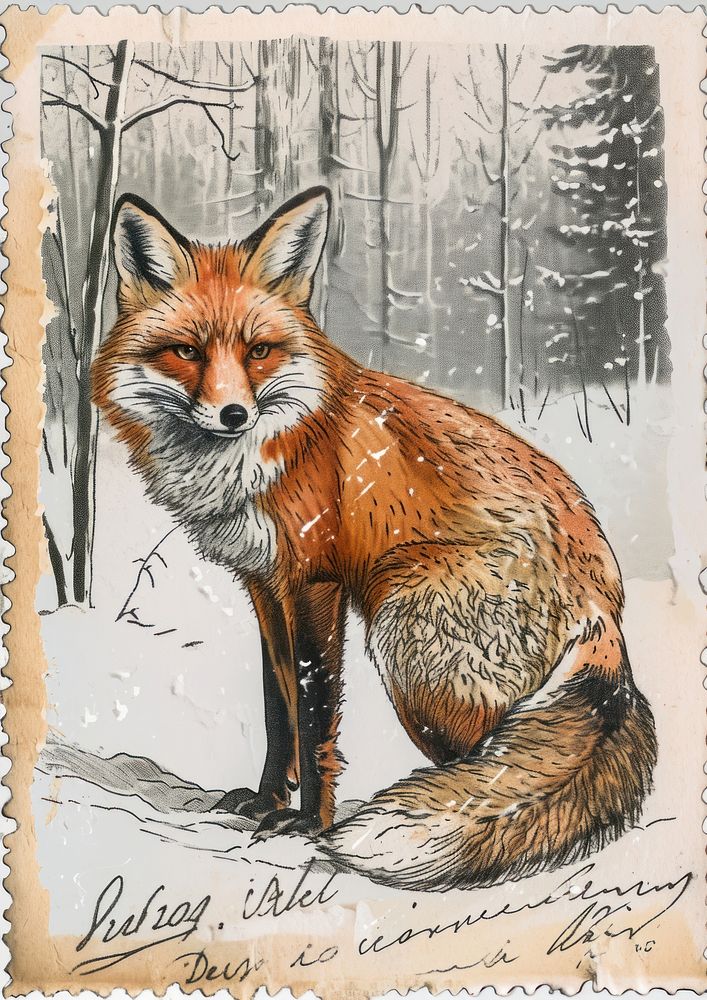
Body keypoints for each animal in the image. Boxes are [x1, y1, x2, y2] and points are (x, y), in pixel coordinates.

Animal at [92, 186, 656, 891]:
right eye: (187, 352)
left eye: (258, 351)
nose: (233, 414)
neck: (258, 458)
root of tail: (606, 600)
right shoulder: (264, 585)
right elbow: (278, 706)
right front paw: (267, 800)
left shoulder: (316, 582)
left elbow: (314, 712)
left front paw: (310, 823)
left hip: (405, 634)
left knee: (489, 764)